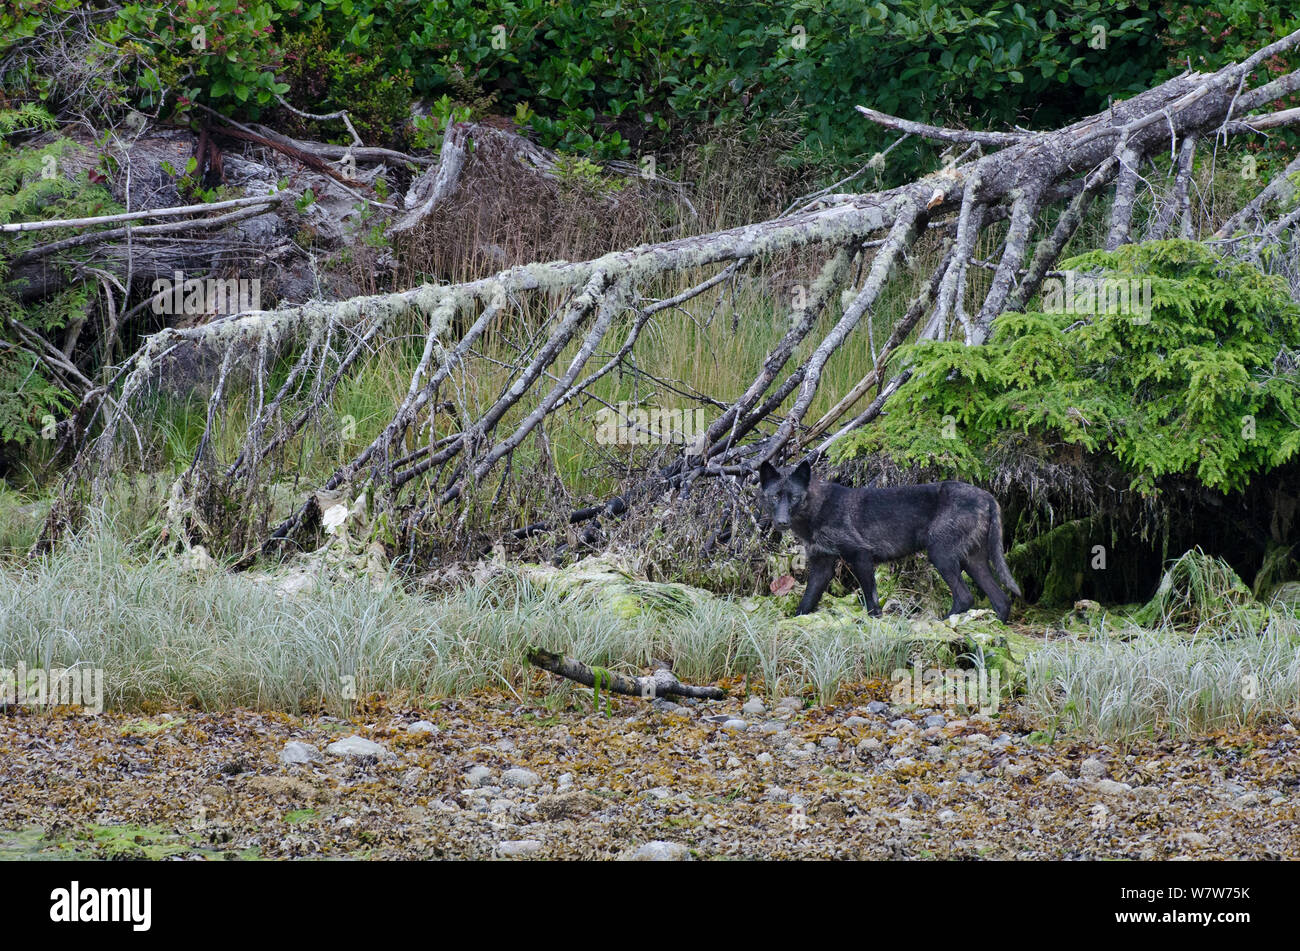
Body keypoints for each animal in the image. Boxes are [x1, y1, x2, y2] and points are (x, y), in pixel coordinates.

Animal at [758, 460, 1022, 622]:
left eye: (793, 497)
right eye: (774, 497)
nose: (781, 522)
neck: (816, 512)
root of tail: (988, 497)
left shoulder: (861, 556)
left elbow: (872, 601)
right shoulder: (822, 564)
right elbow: (807, 601)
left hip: (941, 555)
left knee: (965, 597)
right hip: (971, 561)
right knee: (1001, 600)